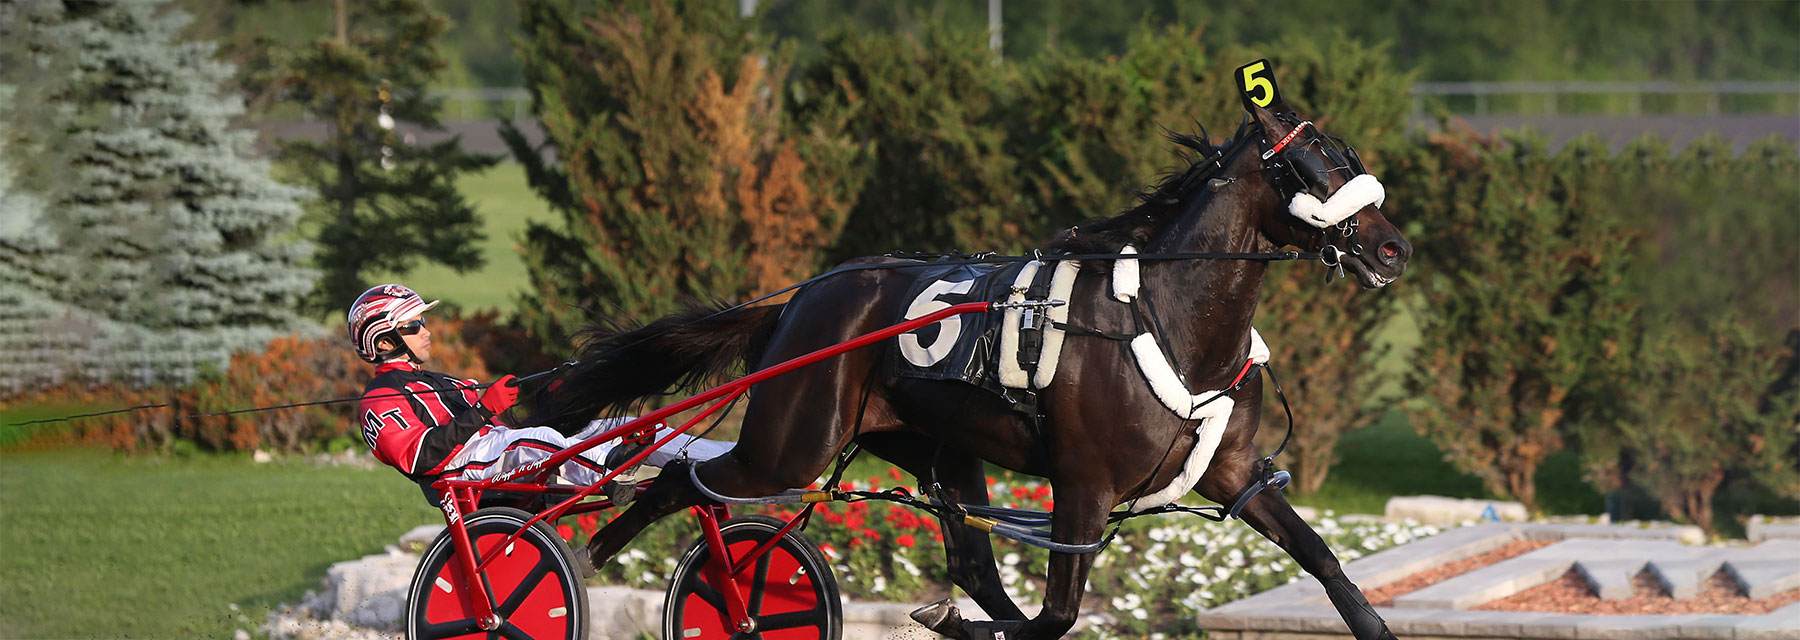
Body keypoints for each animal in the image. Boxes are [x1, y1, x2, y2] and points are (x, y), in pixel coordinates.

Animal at [529, 66, 1411, 640]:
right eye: (1311, 164)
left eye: (1350, 157)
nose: (1392, 248)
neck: (1167, 319)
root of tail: (798, 301)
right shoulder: (1082, 484)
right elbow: (1057, 615)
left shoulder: (1232, 476)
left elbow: (1325, 561)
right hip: (791, 441)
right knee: (682, 478)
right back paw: (584, 551)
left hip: (937, 449)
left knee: (971, 565)